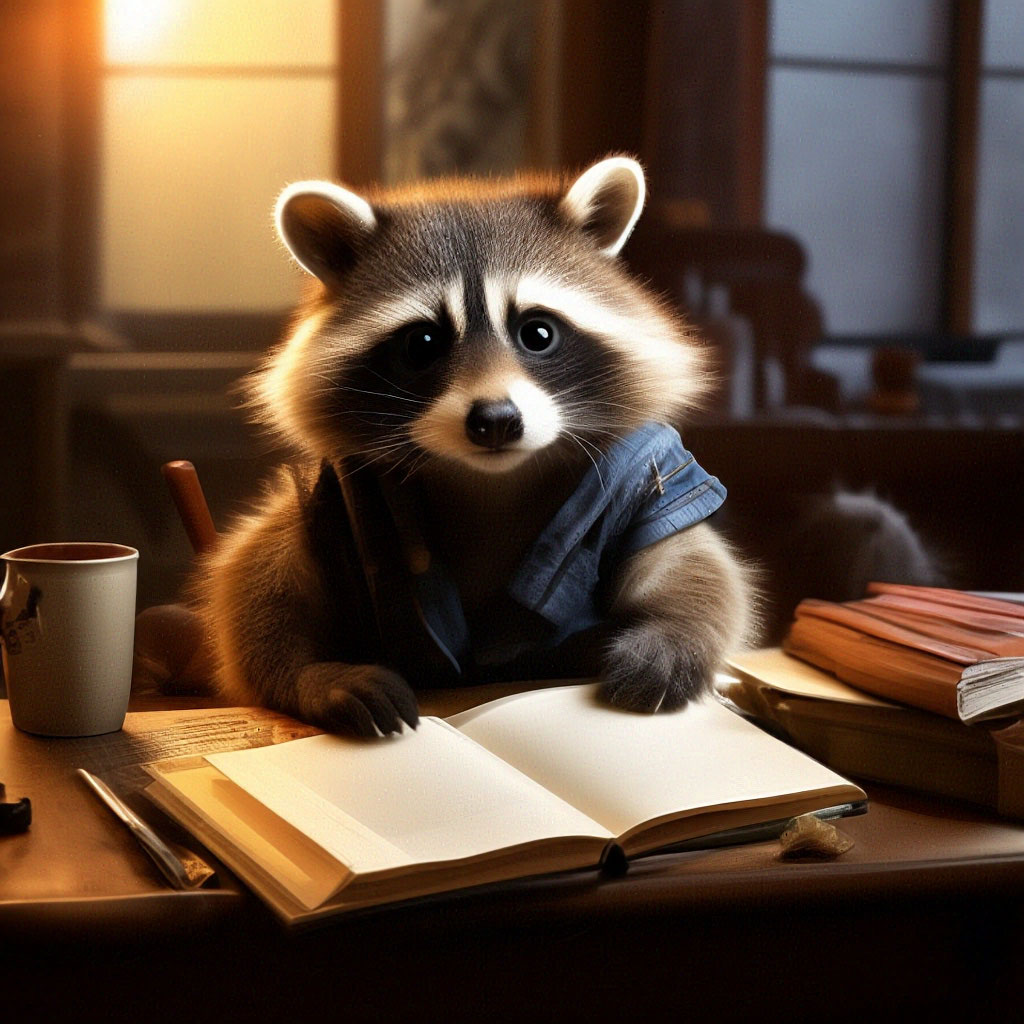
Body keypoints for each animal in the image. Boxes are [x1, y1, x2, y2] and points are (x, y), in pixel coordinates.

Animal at [198, 156, 754, 736]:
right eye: (422, 343)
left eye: (537, 333)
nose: (495, 422)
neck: (490, 476)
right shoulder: (335, 488)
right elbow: (260, 580)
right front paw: (313, 673)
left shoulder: (650, 474)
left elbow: (694, 564)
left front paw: (673, 634)